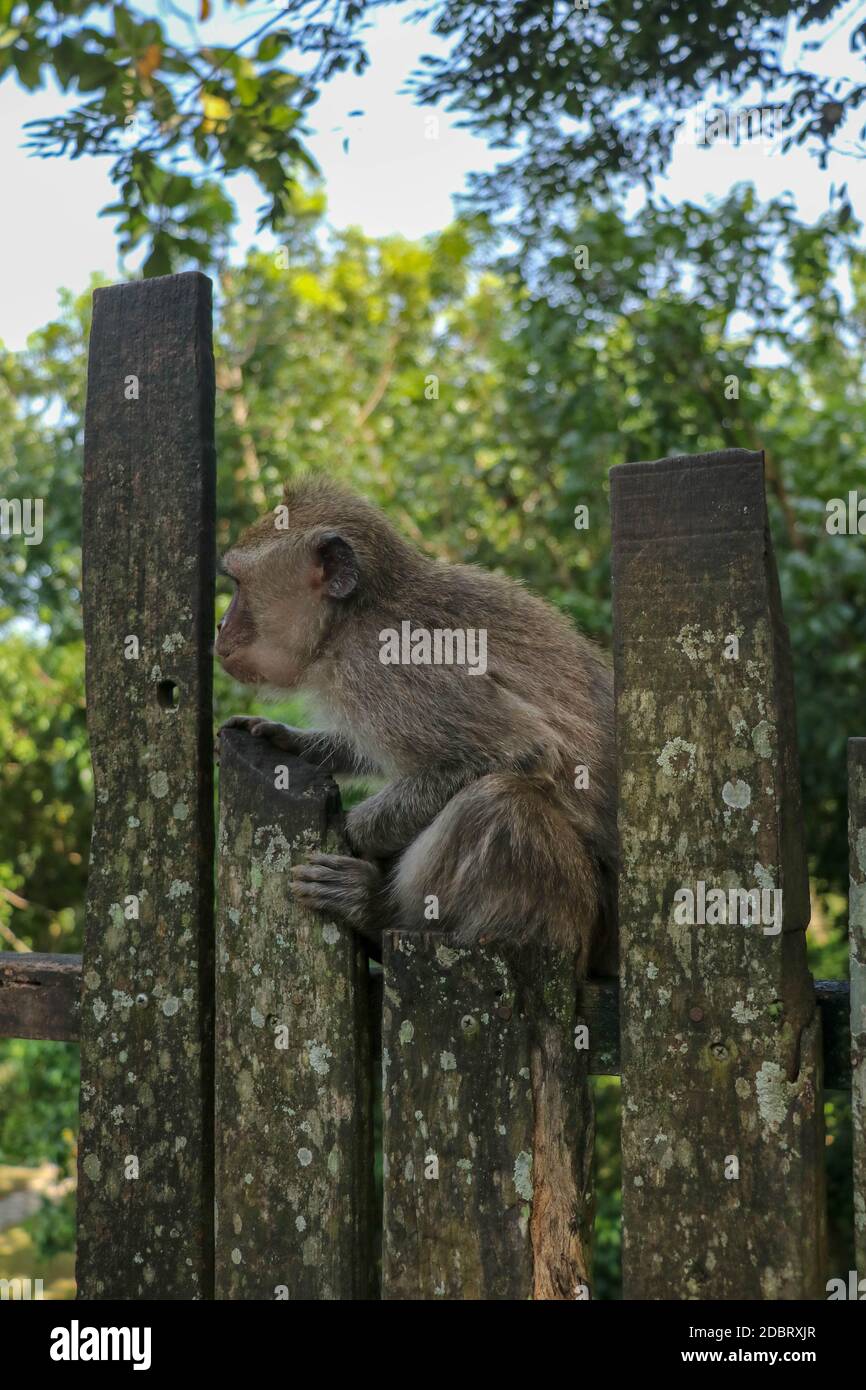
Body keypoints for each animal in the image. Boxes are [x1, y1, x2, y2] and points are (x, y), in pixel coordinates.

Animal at [215, 476, 617, 976]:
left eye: (237, 584)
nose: (220, 624)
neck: (353, 617)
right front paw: (286, 738)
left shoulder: (381, 665)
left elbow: (522, 749)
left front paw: (356, 829)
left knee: (497, 804)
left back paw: (377, 911)